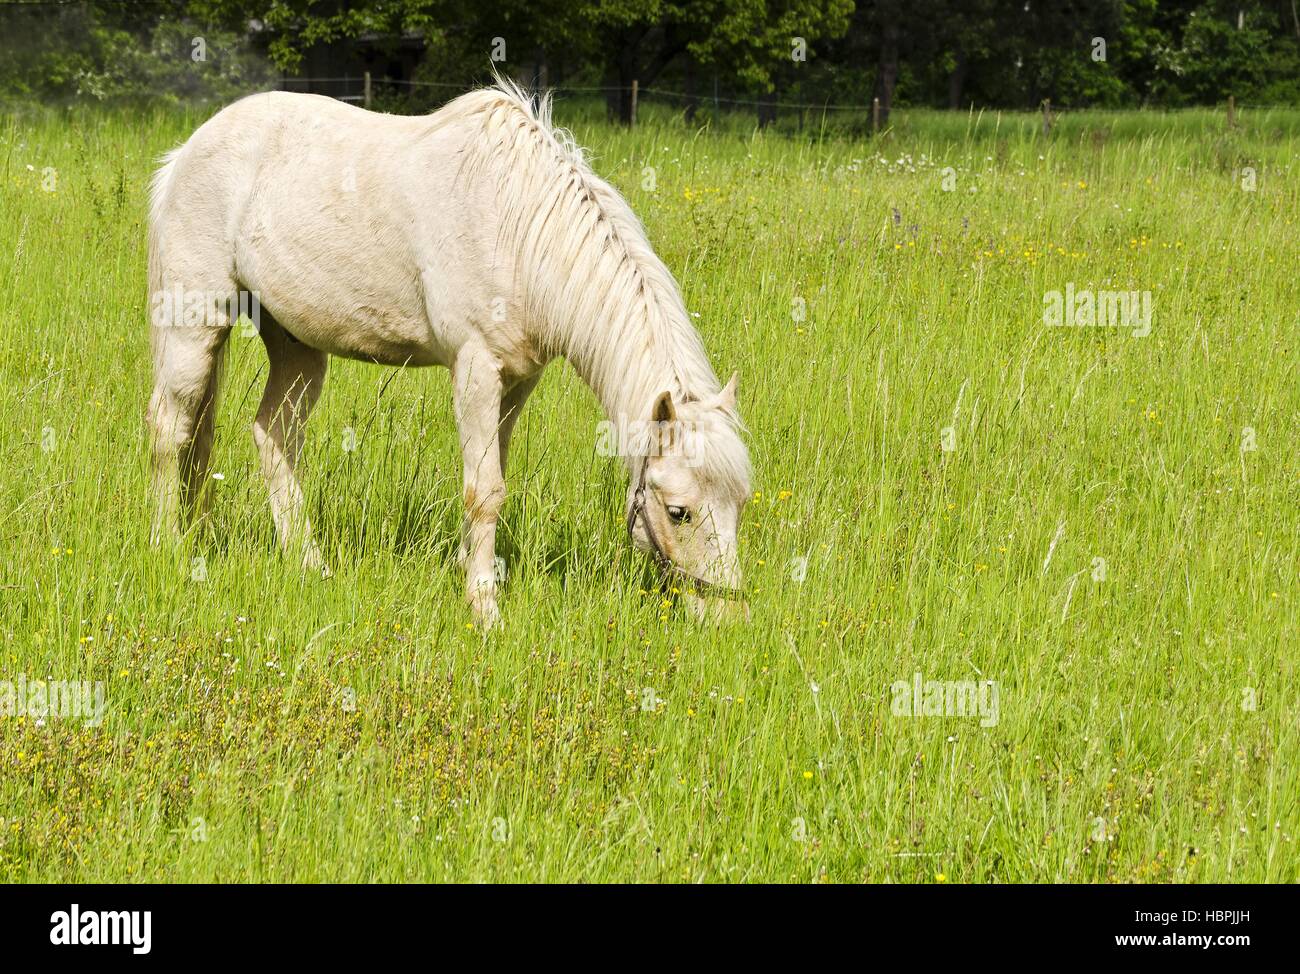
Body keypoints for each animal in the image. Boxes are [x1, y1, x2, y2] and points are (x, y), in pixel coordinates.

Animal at [146, 79, 751, 628]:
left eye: (740, 502)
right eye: (679, 512)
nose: (727, 618)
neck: (520, 225)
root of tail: (185, 153)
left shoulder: (517, 381)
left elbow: (493, 479)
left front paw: (470, 572)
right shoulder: (476, 368)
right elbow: (485, 491)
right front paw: (484, 610)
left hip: (297, 350)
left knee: (272, 437)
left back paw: (308, 563)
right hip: (194, 326)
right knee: (171, 430)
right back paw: (171, 548)